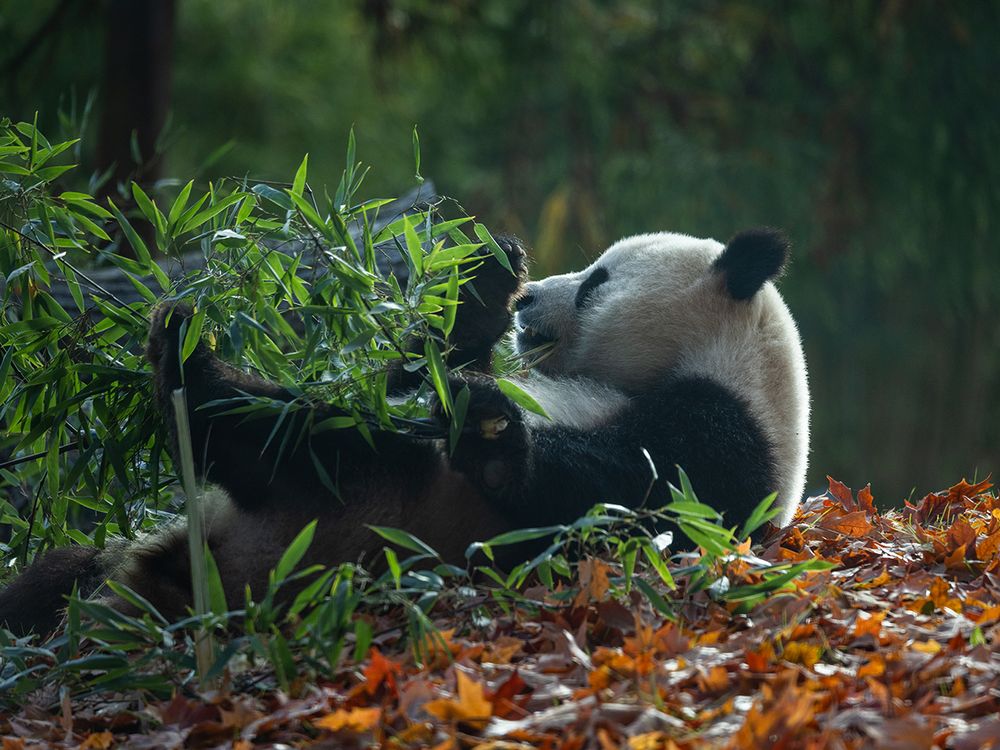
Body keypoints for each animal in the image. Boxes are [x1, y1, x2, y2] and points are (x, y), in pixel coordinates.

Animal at [0, 228, 809, 635]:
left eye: (597, 282)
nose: (532, 303)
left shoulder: (730, 436)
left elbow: (630, 487)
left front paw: (494, 437)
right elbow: (418, 369)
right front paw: (483, 286)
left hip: (368, 509)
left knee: (310, 441)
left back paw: (193, 367)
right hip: (146, 548)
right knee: (55, 576)